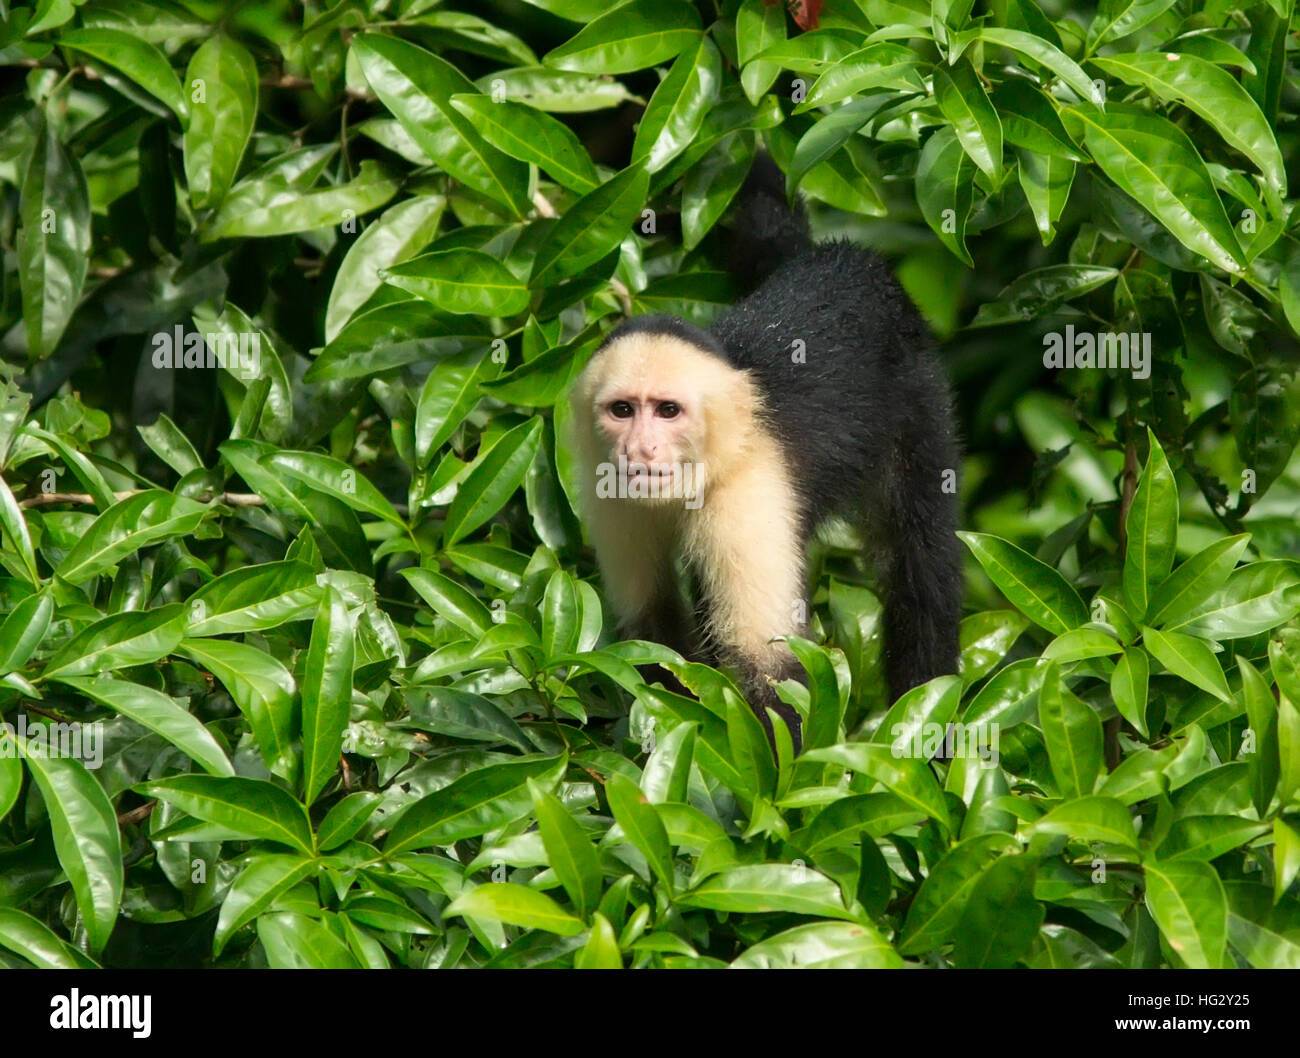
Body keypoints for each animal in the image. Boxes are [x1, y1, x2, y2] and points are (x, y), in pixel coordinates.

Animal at [567, 155, 962, 752]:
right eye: (621, 410)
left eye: (667, 411)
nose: (640, 448)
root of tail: (841, 258)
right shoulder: (609, 490)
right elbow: (654, 631)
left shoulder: (747, 491)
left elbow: (771, 674)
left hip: (917, 388)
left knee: (920, 565)